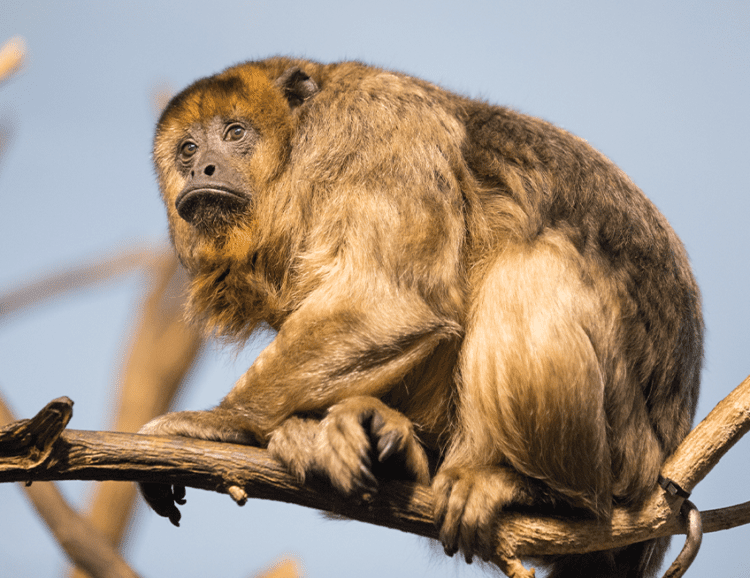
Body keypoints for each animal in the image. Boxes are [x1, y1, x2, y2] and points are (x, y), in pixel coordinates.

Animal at [138, 57, 703, 578]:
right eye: (188, 149)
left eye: (235, 133)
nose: (202, 170)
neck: (301, 149)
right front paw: (312, 435)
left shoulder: (378, 127)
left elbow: (396, 302)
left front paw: (222, 424)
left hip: (627, 456)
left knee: (527, 268)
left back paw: (544, 493)